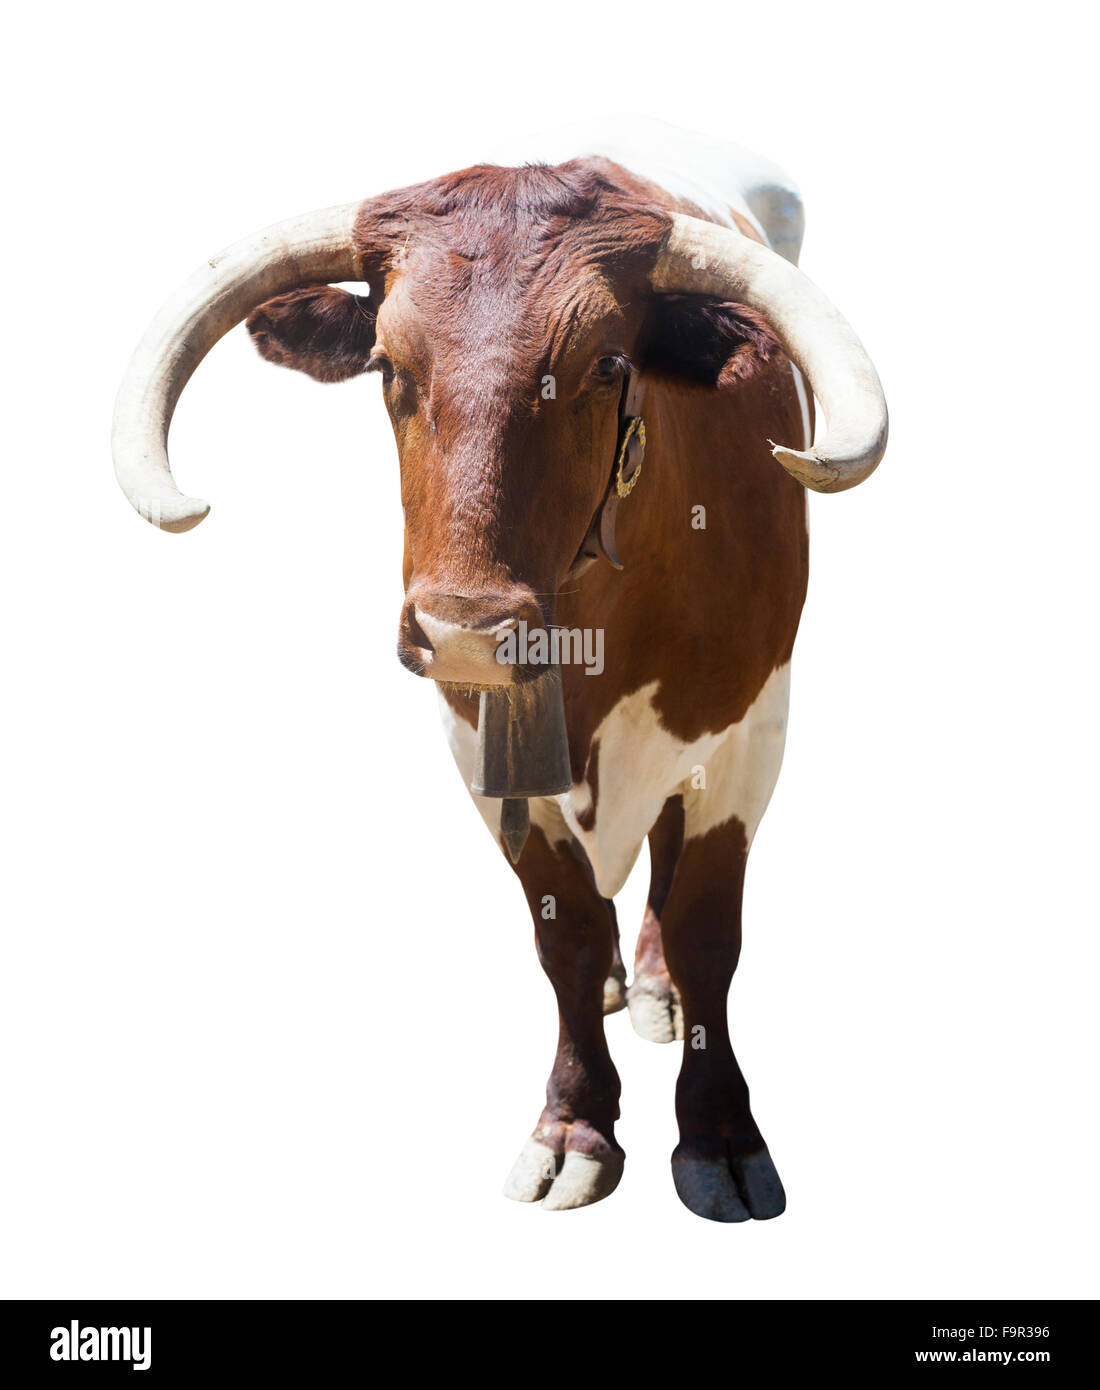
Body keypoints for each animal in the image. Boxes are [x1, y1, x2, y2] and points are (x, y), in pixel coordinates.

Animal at [112, 123, 887, 1222]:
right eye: (388, 364)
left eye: (606, 362)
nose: (465, 630)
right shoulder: (473, 739)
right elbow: (562, 935)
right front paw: (574, 1127)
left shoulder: (751, 733)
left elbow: (708, 930)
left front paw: (719, 1135)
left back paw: (651, 983)